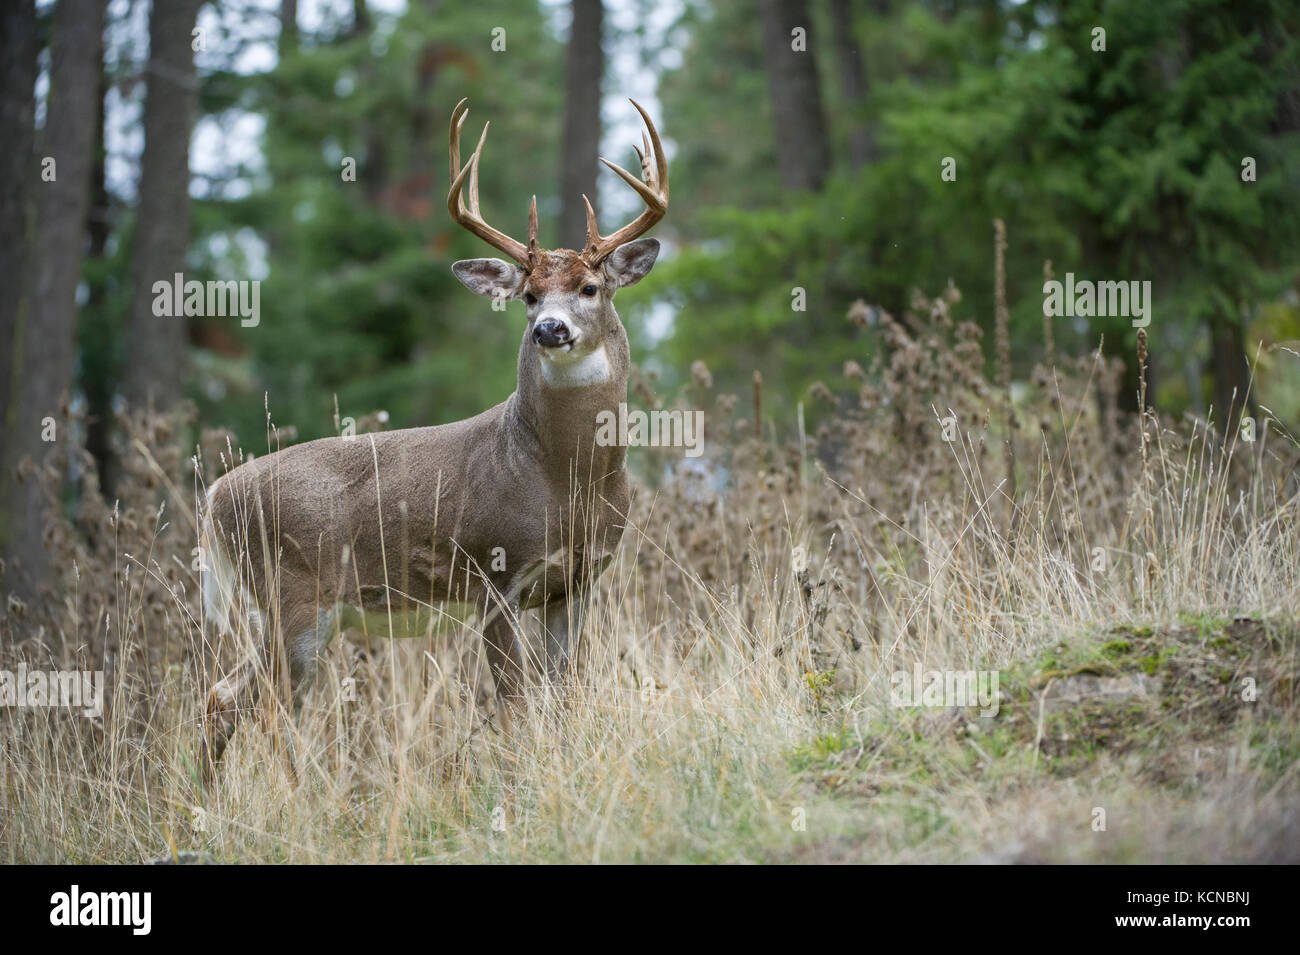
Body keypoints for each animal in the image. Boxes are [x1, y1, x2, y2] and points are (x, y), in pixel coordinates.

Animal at [198, 97, 668, 780]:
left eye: (589, 287)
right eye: (529, 296)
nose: (549, 329)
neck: (562, 478)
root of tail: (211, 499)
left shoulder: (577, 583)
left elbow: (564, 695)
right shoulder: (497, 575)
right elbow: (515, 705)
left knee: (222, 698)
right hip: (291, 597)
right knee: (265, 711)